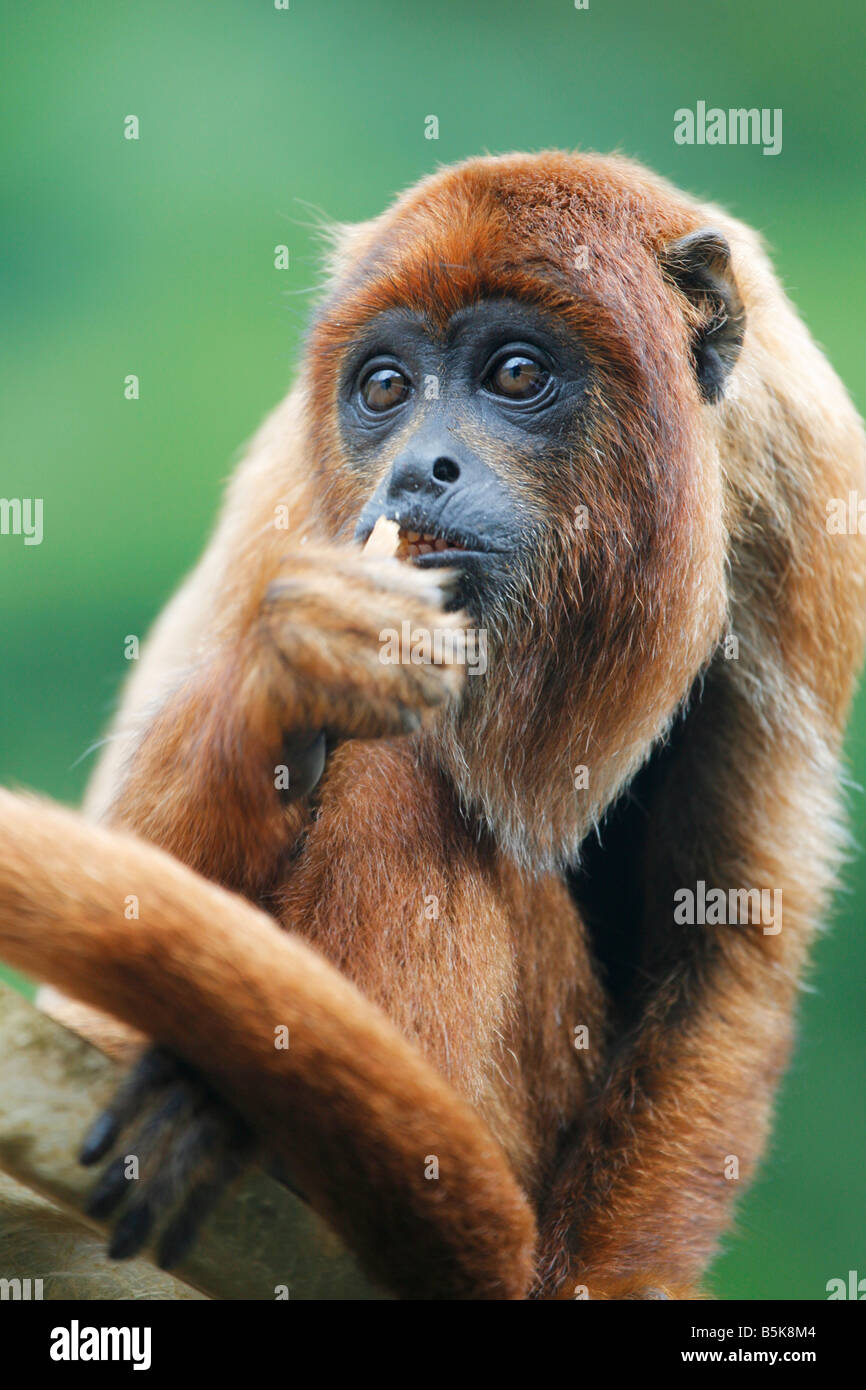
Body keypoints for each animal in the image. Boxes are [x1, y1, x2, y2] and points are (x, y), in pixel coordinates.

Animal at [1, 149, 865, 1300]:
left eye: (514, 374)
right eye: (385, 389)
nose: (418, 469)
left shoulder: (811, 484)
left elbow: (724, 942)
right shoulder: (295, 503)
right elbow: (118, 929)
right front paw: (287, 674)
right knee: (394, 770)